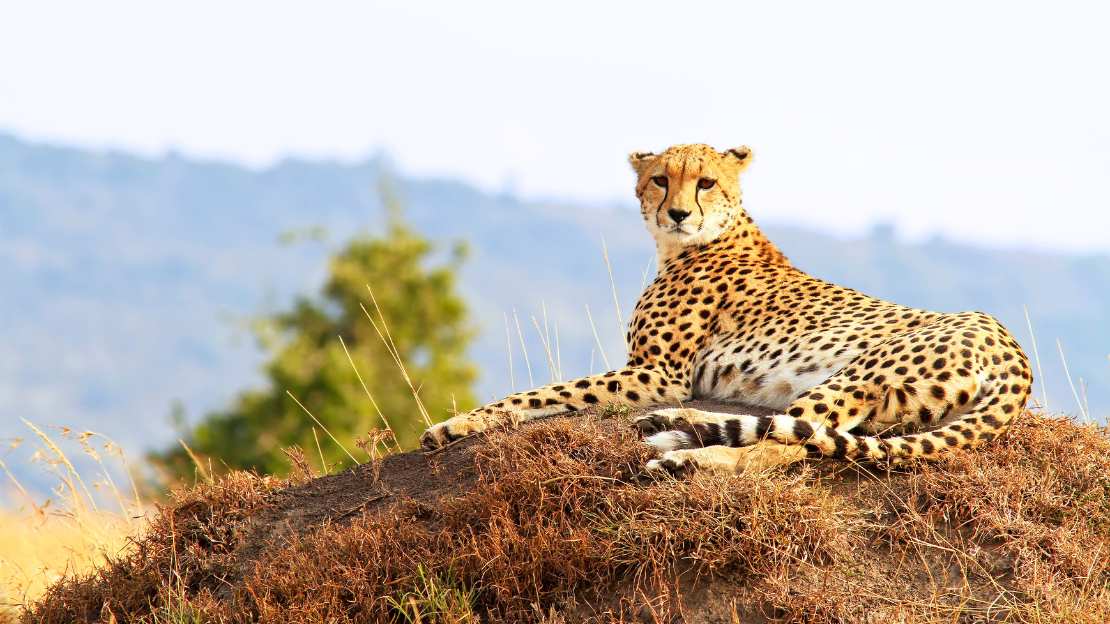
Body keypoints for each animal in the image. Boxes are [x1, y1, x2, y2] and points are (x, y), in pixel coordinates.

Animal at [420, 143, 1033, 476]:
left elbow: (543, 392)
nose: (678, 214)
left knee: (788, 445)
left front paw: (455, 424)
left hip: (857, 374)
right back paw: (677, 434)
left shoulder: (659, 374)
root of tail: (1012, 349)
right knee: (797, 437)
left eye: (706, 182)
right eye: (660, 180)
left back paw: (682, 450)